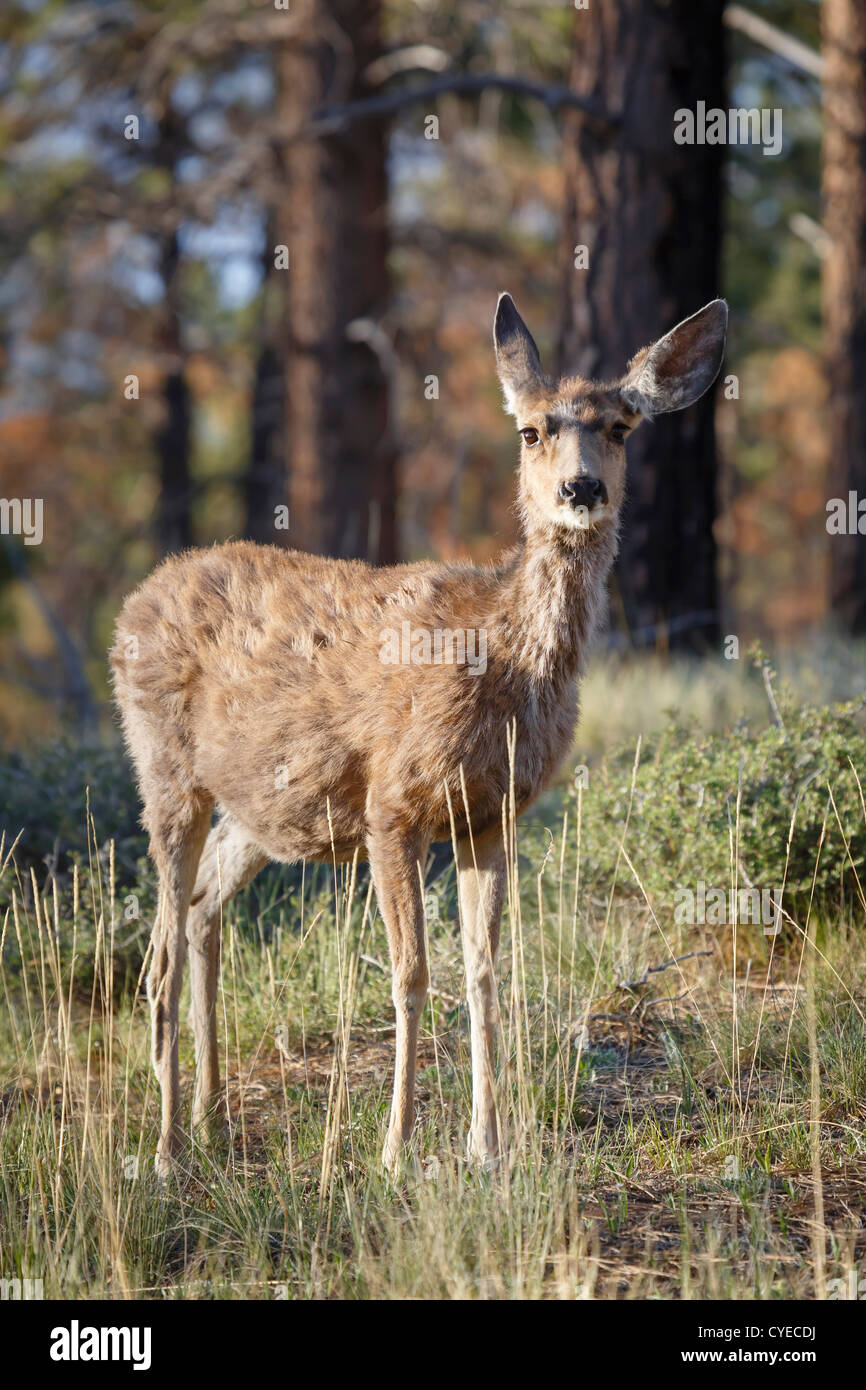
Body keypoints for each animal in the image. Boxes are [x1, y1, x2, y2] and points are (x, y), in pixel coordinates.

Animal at [110, 293, 727, 1178]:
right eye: (530, 430)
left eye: (620, 426)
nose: (581, 488)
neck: (501, 659)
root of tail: (132, 605)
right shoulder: (391, 805)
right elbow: (410, 974)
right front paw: (397, 1149)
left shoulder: (492, 815)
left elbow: (483, 972)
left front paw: (488, 1147)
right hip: (166, 772)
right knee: (156, 955)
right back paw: (166, 1151)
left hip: (261, 809)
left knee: (199, 912)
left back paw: (213, 1121)